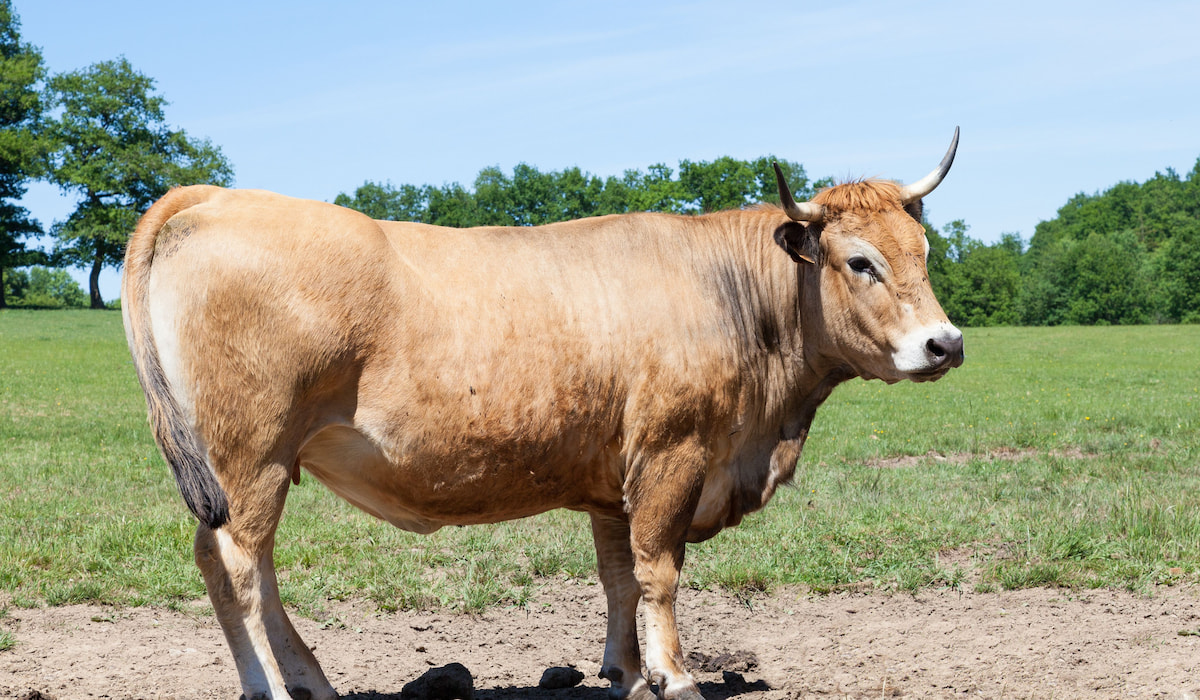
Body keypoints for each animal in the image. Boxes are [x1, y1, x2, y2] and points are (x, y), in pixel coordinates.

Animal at [122, 129, 964, 700]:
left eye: (924, 251)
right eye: (859, 261)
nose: (945, 343)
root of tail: (216, 195)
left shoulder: (611, 481)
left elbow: (619, 578)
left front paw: (626, 673)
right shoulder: (674, 456)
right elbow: (660, 570)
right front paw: (674, 675)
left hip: (255, 467)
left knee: (253, 570)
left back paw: (313, 681)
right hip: (250, 457)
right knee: (235, 568)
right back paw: (269, 686)